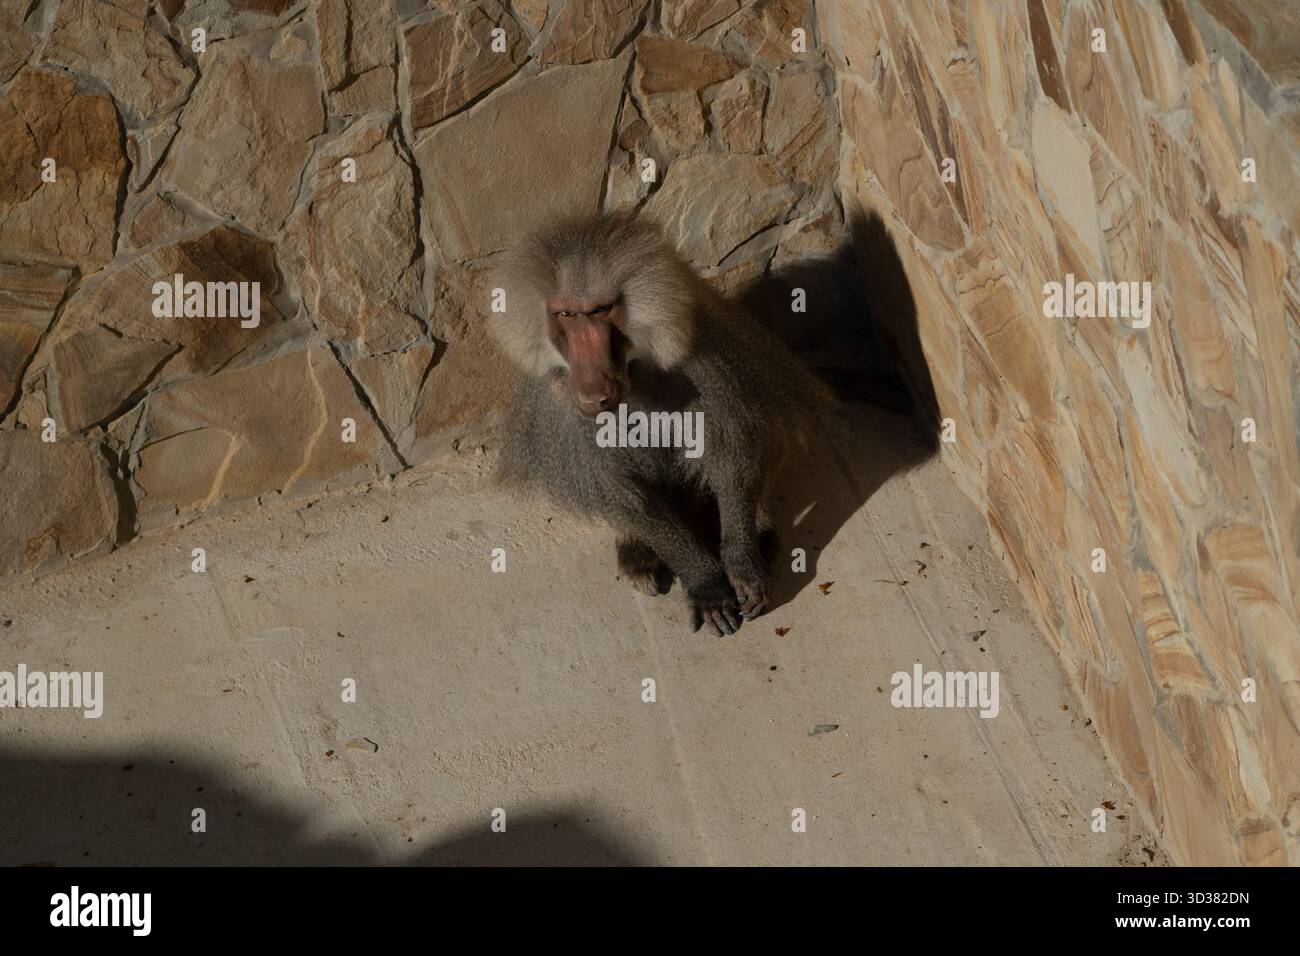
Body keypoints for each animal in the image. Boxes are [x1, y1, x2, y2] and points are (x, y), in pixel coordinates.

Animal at [489, 211, 833, 636]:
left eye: (601, 310)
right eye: (566, 314)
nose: (593, 388)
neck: (633, 370)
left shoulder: (703, 364)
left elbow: (733, 452)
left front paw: (742, 564)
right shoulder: (559, 409)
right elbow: (626, 499)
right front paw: (707, 584)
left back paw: (761, 533)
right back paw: (638, 551)